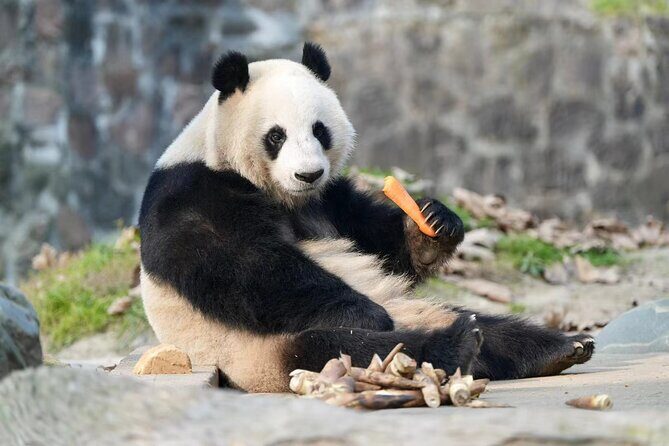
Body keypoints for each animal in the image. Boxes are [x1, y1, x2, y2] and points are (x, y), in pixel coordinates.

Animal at [139, 42, 594, 392]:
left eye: (320, 130)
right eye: (276, 136)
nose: (308, 173)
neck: (283, 195)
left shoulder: (331, 200)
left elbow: (376, 240)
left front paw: (435, 224)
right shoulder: (193, 191)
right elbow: (241, 264)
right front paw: (366, 313)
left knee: (492, 327)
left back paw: (557, 348)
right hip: (259, 353)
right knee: (345, 347)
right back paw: (453, 347)